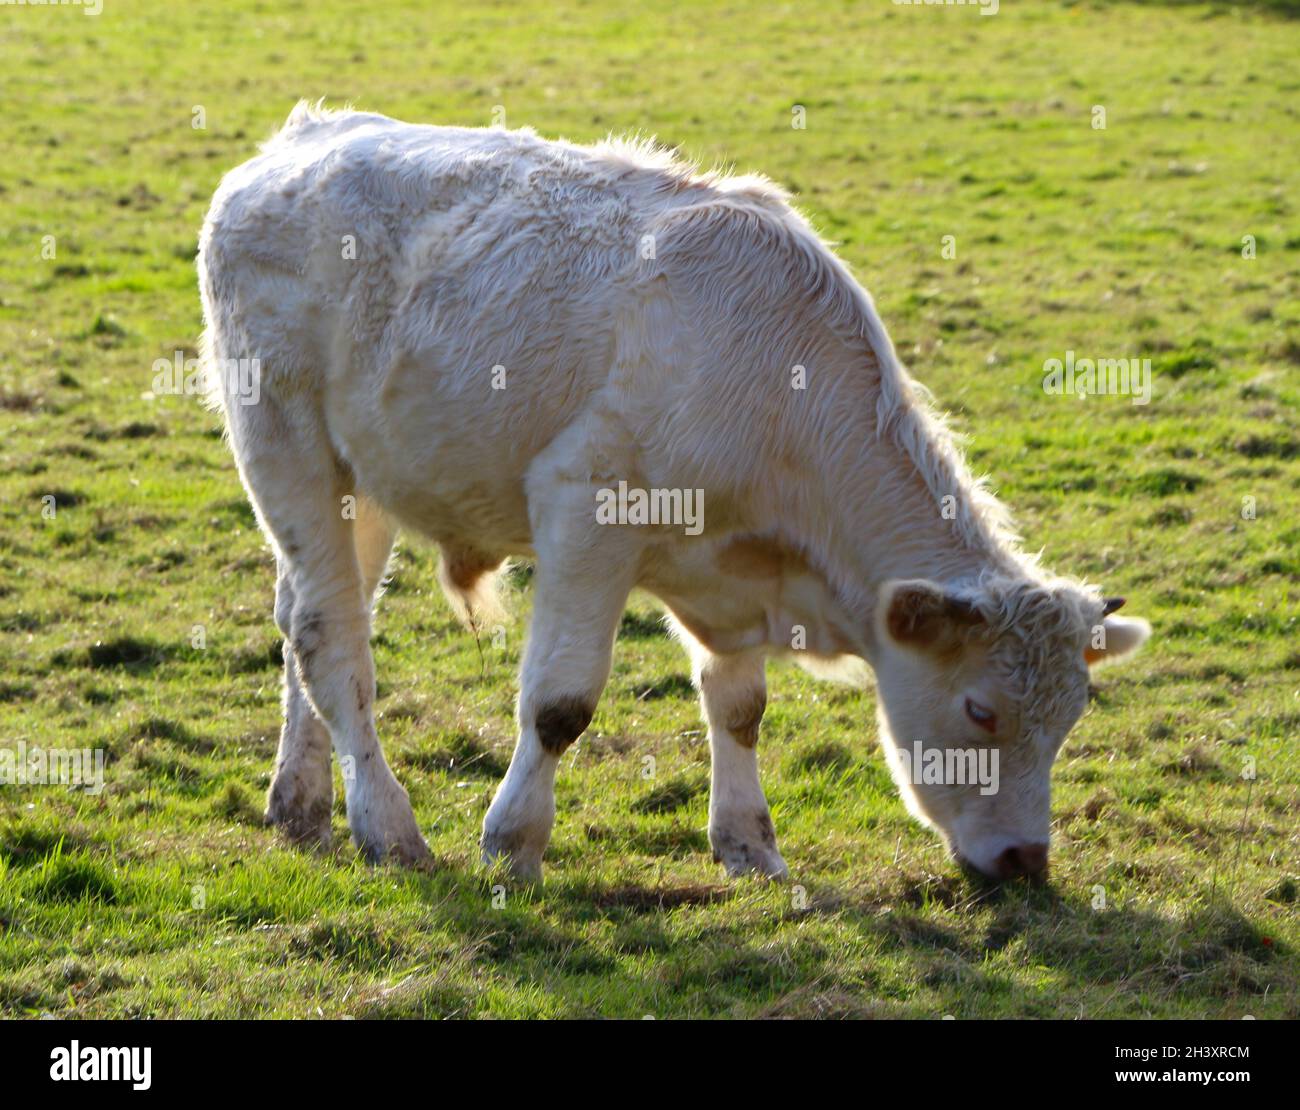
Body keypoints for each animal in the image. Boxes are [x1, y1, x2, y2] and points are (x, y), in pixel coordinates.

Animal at [197, 103, 1150, 883]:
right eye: (980, 710)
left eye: (1071, 717)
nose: (1028, 860)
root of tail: (295, 142)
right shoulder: (585, 512)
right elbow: (559, 705)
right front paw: (513, 844)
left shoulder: (727, 574)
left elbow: (741, 706)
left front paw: (749, 844)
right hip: (285, 446)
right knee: (331, 638)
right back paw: (386, 826)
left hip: (363, 486)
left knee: (310, 619)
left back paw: (301, 800)